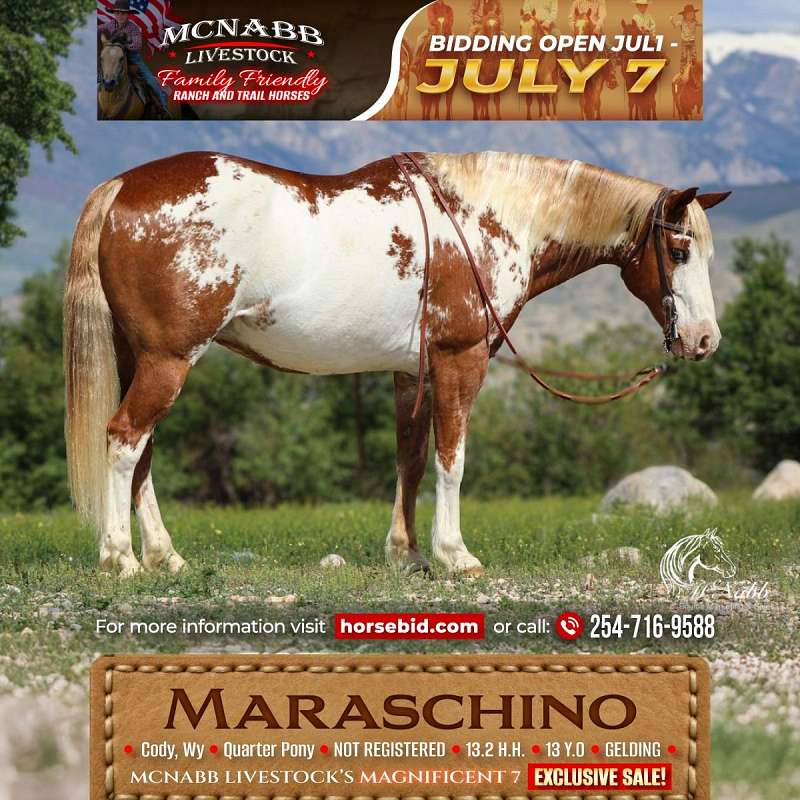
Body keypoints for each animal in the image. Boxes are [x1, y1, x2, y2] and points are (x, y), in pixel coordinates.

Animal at [64, 151, 730, 576]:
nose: (703, 341)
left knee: (142, 450)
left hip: (141, 358)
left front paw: (406, 554)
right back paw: (121, 559)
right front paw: (455, 555)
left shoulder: (413, 372)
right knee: (123, 440)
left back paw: (164, 557)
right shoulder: (461, 362)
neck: (481, 220)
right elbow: (451, 460)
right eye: (678, 250)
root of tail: (121, 186)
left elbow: (409, 460)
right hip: (169, 360)